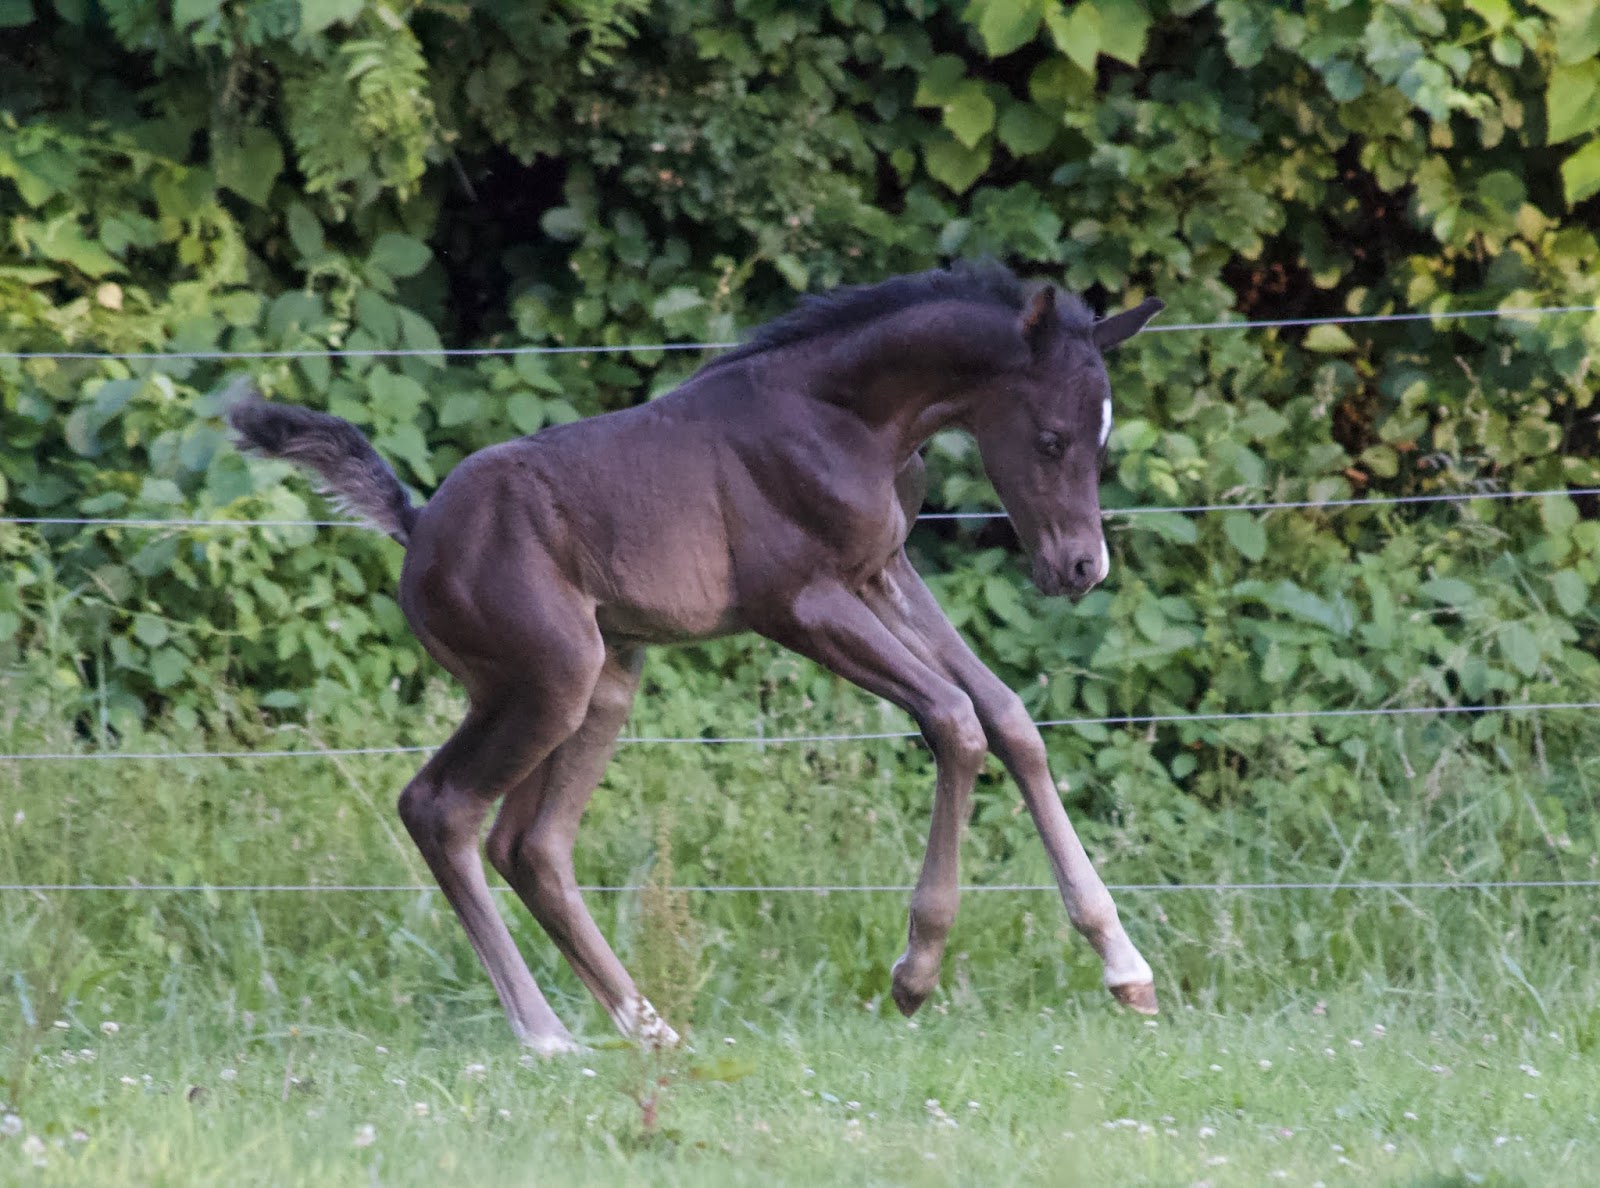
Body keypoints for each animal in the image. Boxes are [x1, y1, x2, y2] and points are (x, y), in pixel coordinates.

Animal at [229, 262, 1164, 1053]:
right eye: (1051, 439)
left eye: (1102, 440)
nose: (1081, 568)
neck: (849, 419)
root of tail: (418, 527)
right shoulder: (799, 604)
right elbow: (955, 720)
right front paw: (915, 972)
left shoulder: (881, 572)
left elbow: (1007, 715)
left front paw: (1123, 964)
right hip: (547, 683)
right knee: (441, 809)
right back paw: (547, 1035)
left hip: (599, 685)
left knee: (530, 846)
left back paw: (648, 1027)